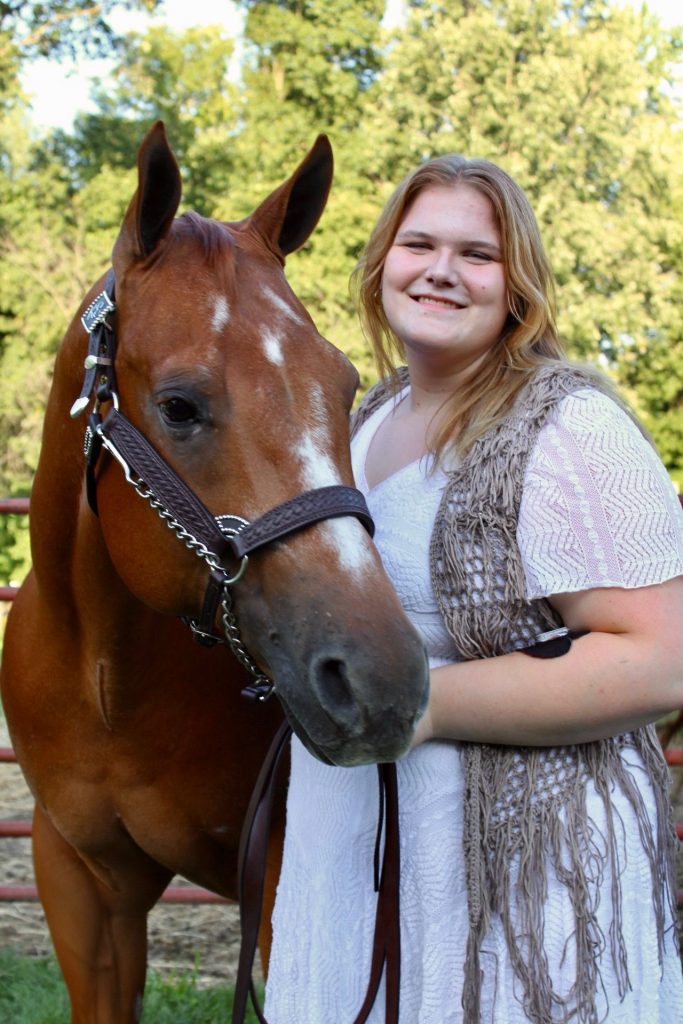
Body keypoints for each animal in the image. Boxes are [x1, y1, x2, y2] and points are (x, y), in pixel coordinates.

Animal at [0, 122, 429, 1024]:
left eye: (343, 386)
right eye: (179, 406)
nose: (380, 679)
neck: (104, 676)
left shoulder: (277, 890)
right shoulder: (83, 888)